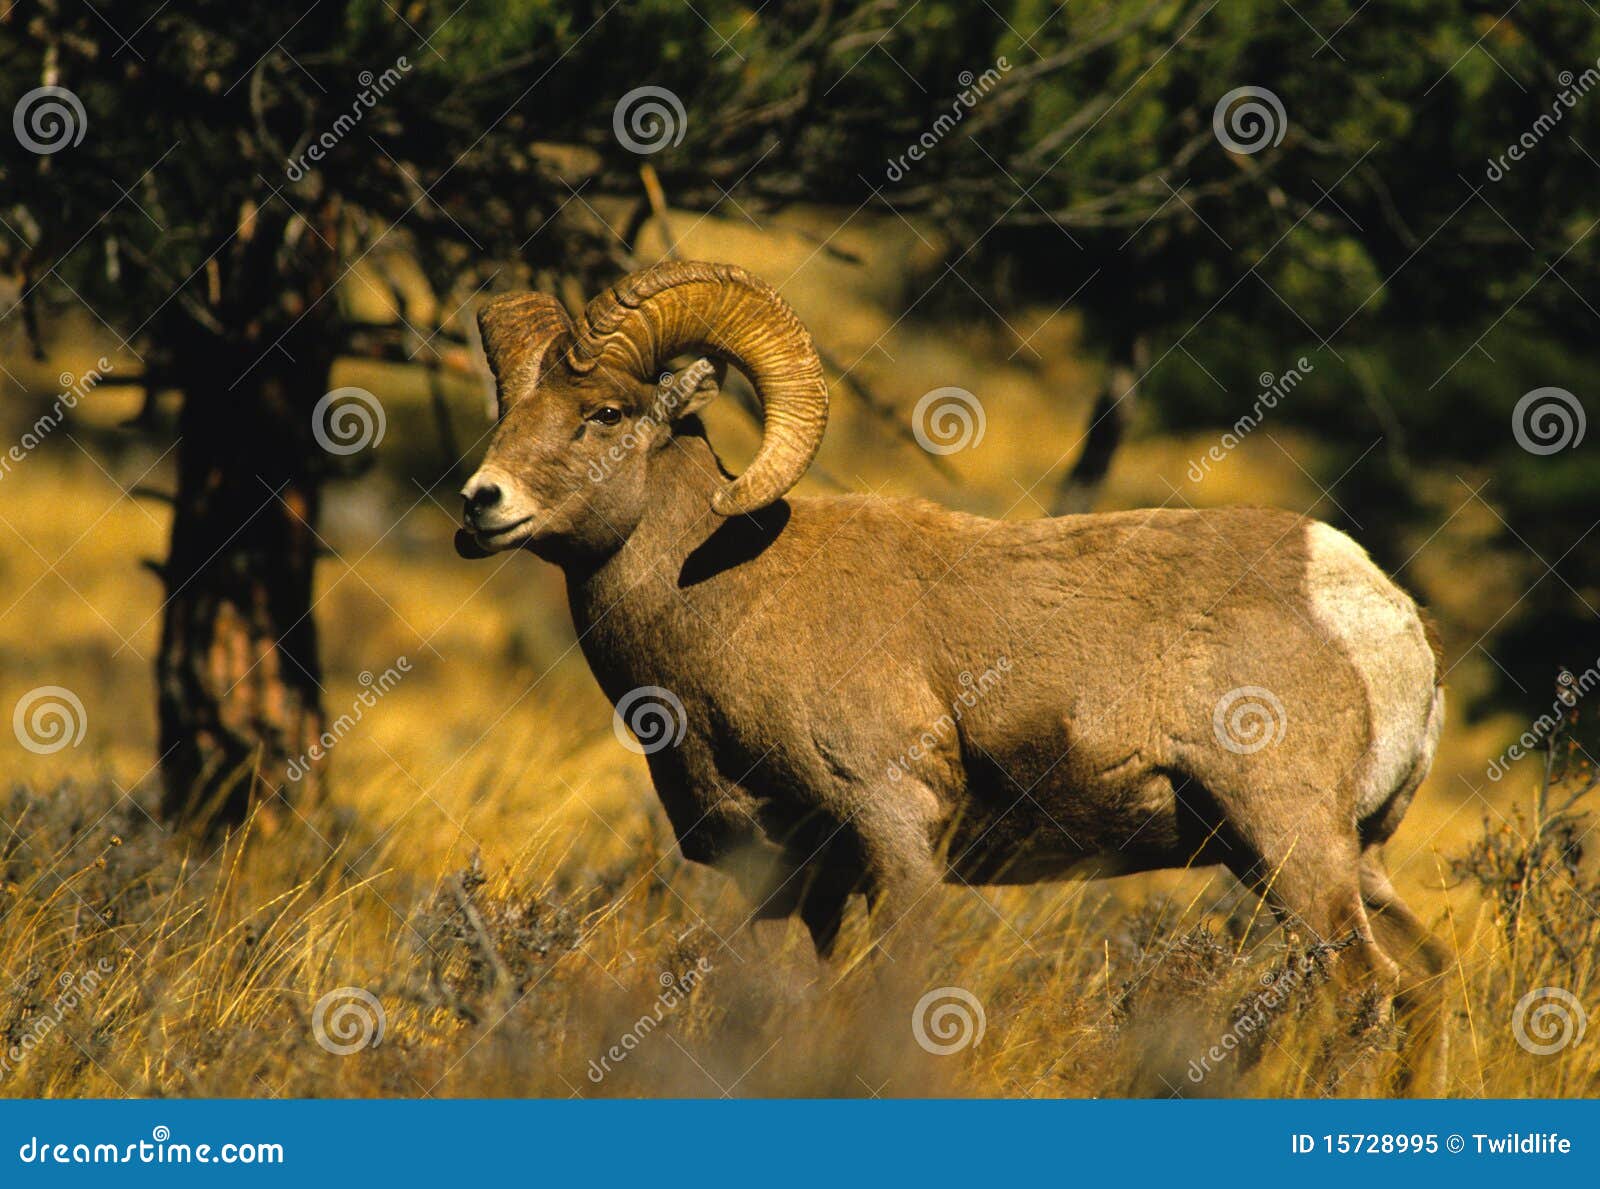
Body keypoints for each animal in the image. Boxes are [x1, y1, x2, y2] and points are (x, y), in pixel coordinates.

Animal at [456, 260, 1449, 1073]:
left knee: (1364, 987)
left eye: (604, 414)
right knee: (1425, 977)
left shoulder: (895, 830)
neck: (723, 591)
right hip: (1332, 856)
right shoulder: (789, 873)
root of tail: (1380, 612)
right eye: (508, 413)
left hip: (1290, 840)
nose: (481, 503)